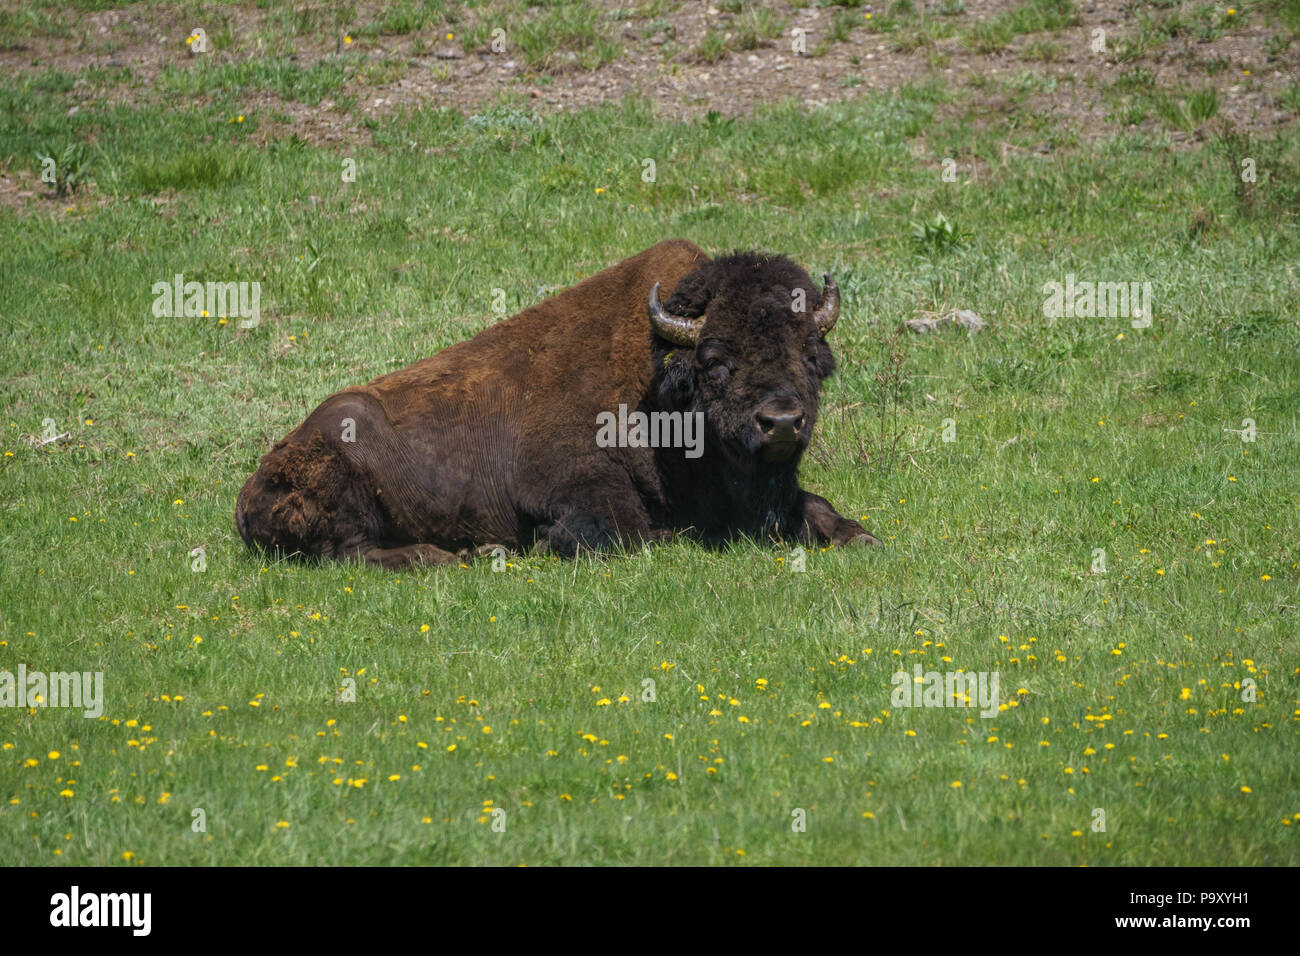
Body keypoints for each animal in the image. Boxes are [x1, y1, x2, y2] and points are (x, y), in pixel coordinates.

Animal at [236, 239, 881, 568]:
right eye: (717, 362)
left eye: (809, 355)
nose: (781, 422)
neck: (660, 392)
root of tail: (252, 488)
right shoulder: (576, 488)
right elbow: (624, 534)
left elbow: (816, 508)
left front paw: (859, 535)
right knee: (353, 553)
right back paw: (460, 556)